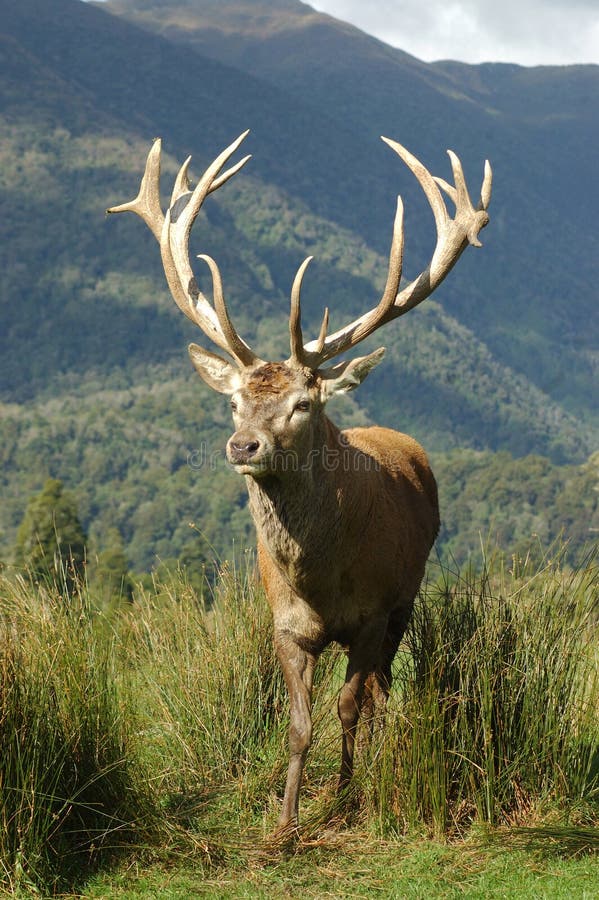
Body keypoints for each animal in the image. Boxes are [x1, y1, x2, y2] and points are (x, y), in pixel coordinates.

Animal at [108, 131, 491, 835]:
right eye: (234, 402)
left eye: (303, 403)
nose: (243, 444)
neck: (321, 580)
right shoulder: (283, 624)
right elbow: (298, 725)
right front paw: (285, 825)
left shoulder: (373, 612)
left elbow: (348, 707)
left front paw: (344, 795)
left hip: (408, 598)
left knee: (381, 689)